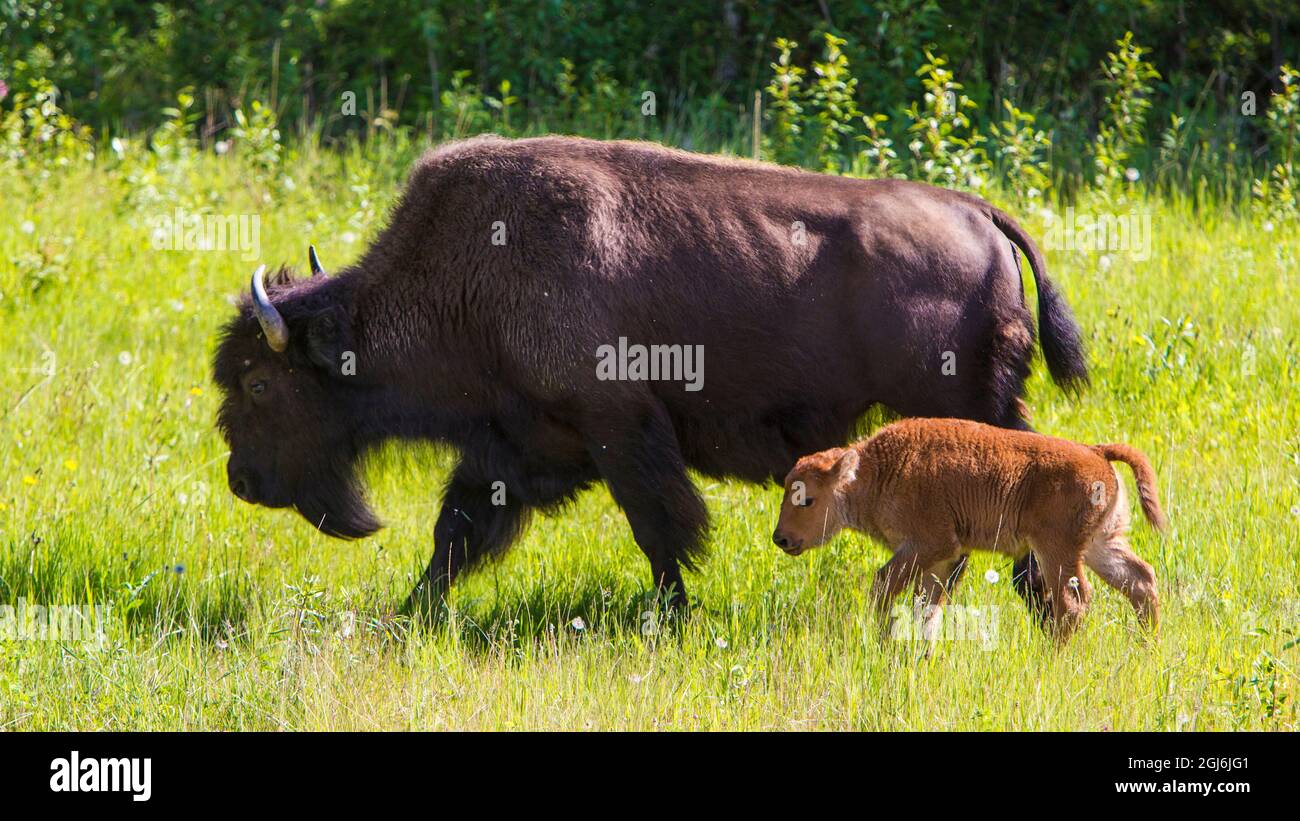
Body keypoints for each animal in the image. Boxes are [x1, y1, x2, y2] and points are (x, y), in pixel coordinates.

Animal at [213, 135, 1086, 614]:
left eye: (259, 382)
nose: (241, 480)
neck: (467, 274)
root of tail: (977, 213)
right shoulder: (514, 444)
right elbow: (454, 534)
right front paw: (411, 614)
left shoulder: (620, 432)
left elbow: (658, 527)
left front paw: (673, 614)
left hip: (966, 410)